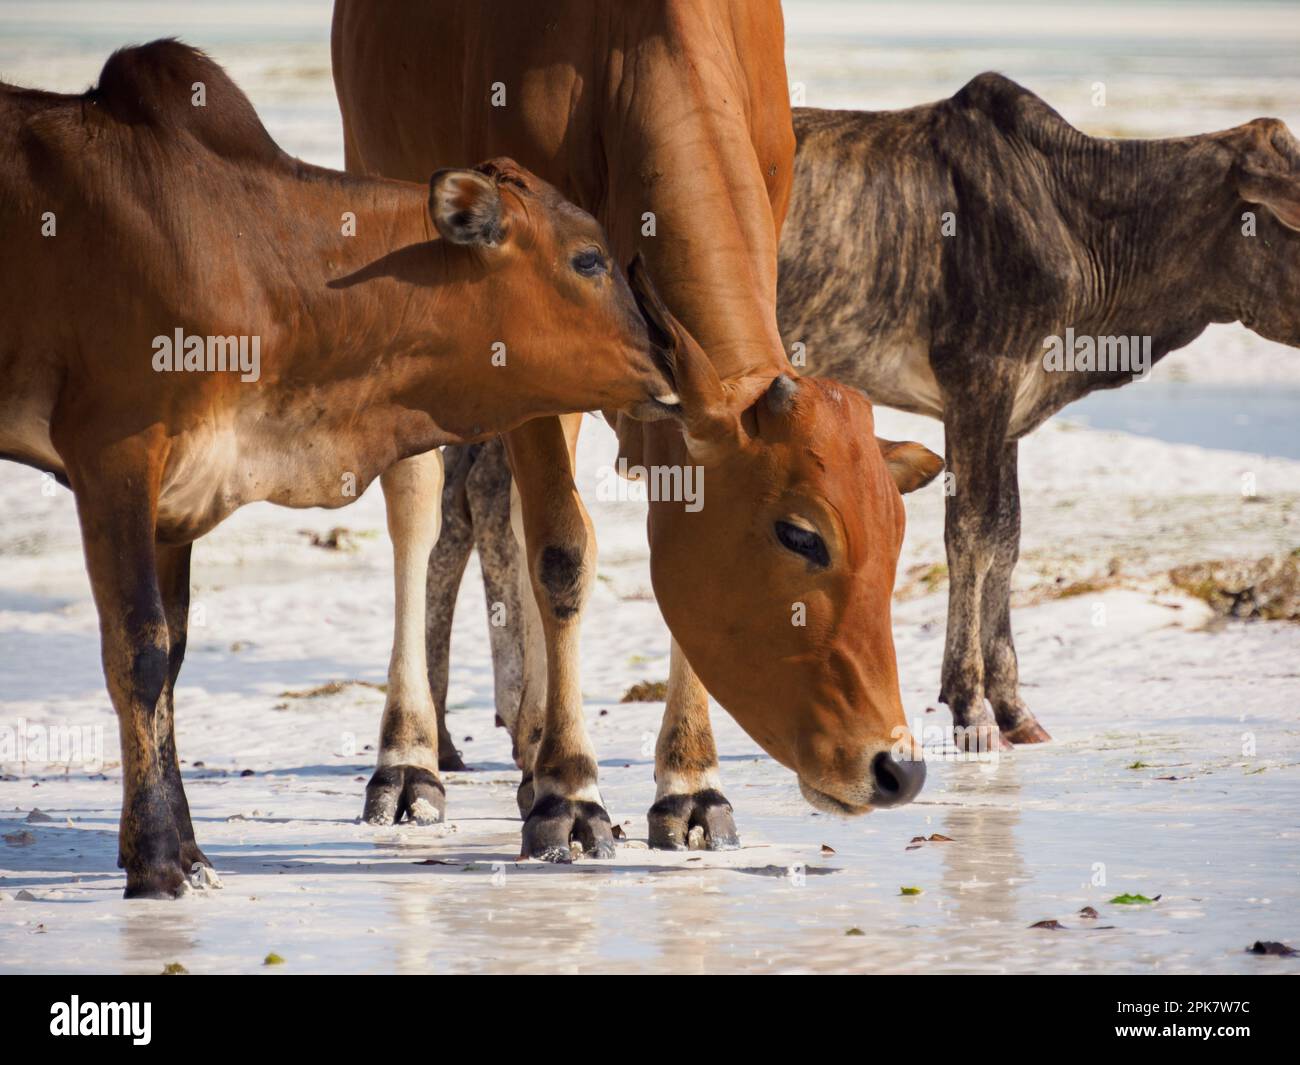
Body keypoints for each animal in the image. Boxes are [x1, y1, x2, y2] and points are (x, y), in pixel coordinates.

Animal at [0, 39, 698, 897]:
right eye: (590, 259)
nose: (675, 359)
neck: (244, 246)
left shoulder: (178, 490)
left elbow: (174, 657)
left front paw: (178, 847)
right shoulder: (115, 455)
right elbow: (141, 650)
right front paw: (161, 859)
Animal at [333, 0, 942, 860]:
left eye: (896, 541)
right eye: (801, 535)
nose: (897, 767)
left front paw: (690, 784)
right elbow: (561, 553)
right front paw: (570, 793)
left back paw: (530, 741)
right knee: (418, 508)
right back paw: (411, 760)